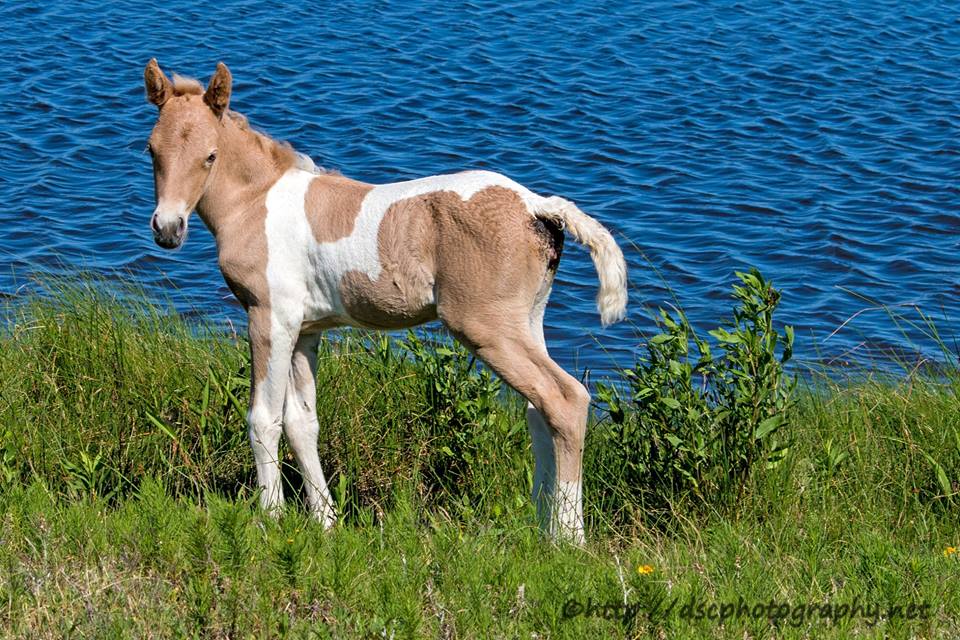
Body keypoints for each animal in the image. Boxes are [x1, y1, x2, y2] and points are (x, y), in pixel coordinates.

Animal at [143, 59, 627, 543]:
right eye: (151, 150)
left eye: (210, 155)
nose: (168, 229)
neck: (255, 201)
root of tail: (537, 207)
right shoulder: (306, 330)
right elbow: (303, 423)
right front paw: (325, 521)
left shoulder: (271, 317)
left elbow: (264, 418)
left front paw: (271, 520)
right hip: (528, 320)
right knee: (538, 410)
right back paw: (544, 529)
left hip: (485, 326)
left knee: (565, 399)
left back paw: (570, 538)